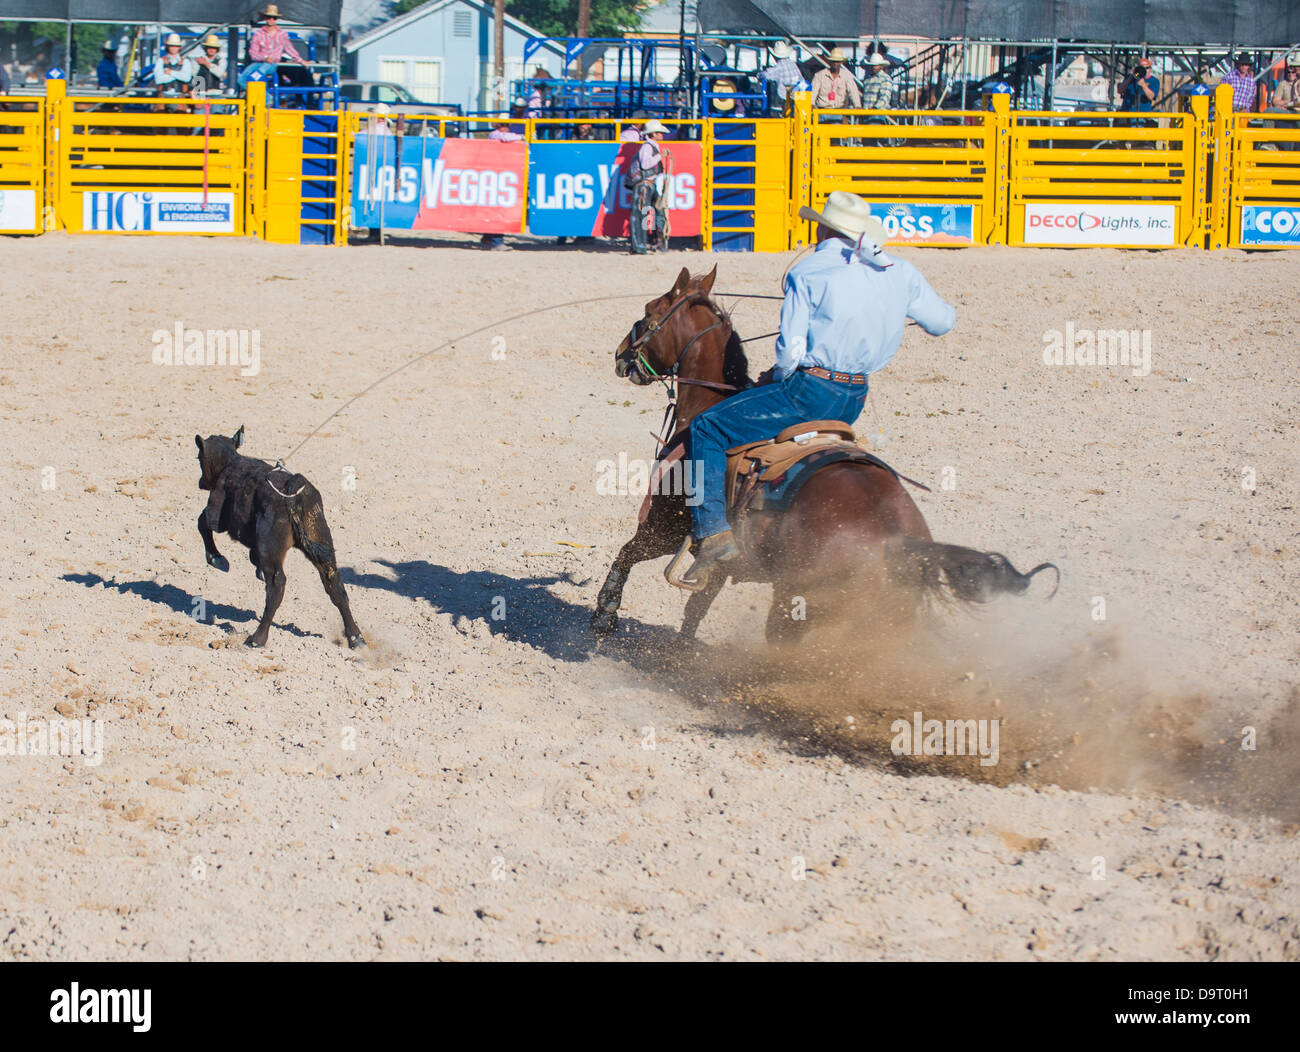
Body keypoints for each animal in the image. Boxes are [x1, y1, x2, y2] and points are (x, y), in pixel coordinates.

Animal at [590, 265, 1055, 639]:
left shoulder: (664, 528)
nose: (619, 354)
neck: (705, 407)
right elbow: (694, 612)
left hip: (794, 602)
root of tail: (896, 539)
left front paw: (604, 616)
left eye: (649, 311)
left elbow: (628, 552)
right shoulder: (715, 566)